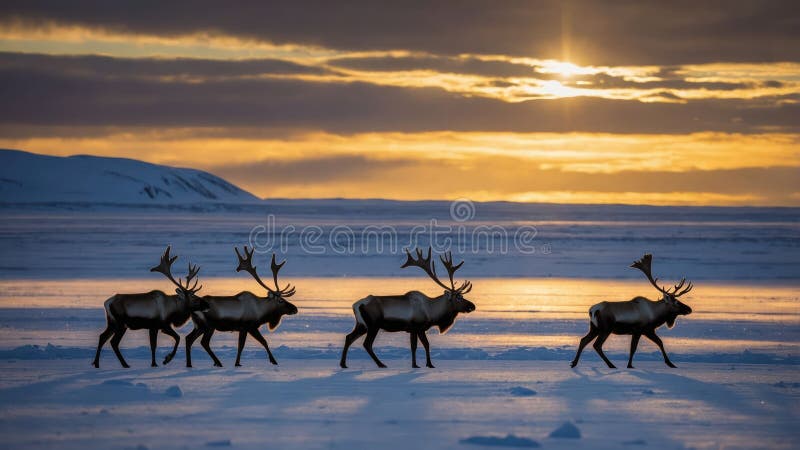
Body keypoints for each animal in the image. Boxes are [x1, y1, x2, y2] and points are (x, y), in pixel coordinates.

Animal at [340, 247, 476, 369]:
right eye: (458, 298)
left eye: (462, 296)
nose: (472, 306)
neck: (432, 312)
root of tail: (356, 305)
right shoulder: (418, 327)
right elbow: (425, 345)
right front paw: (428, 364)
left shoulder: (412, 330)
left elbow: (413, 346)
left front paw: (415, 364)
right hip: (373, 325)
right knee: (366, 344)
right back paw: (381, 364)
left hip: (362, 325)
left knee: (348, 337)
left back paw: (343, 364)